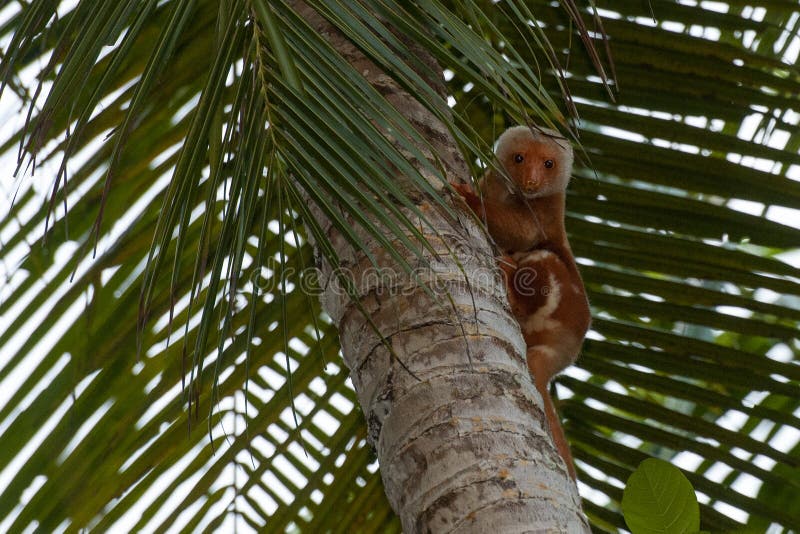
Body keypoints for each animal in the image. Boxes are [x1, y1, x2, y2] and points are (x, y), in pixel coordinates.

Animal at [452, 125, 591, 480]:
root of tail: (560, 353)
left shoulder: (544, 212)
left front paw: (469, 199)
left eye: (548, 164)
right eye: (519, 158)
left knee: (543, 259)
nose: (531, 181)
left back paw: (510, 279)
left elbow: (523, 233)